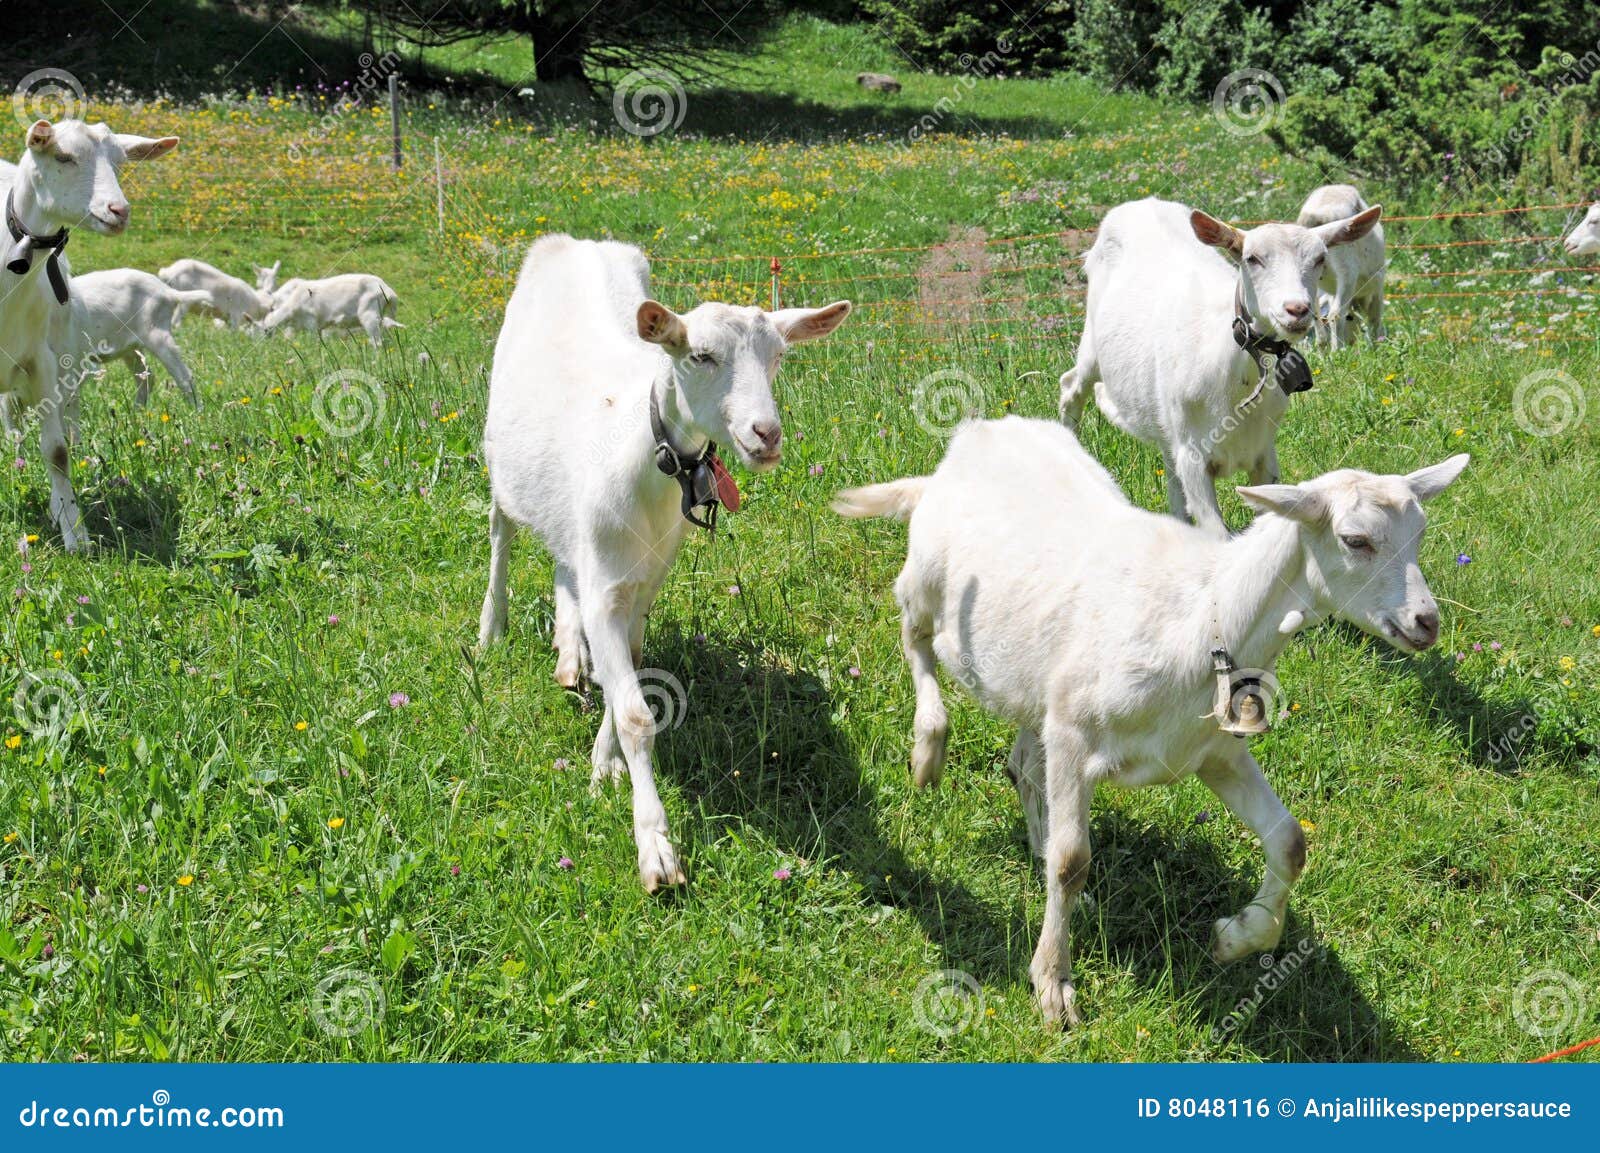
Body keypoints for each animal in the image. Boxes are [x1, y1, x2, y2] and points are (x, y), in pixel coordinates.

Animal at [0, 119, 177, 551]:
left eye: (119, 162)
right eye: (63, 156)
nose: (119, 211)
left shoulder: (43, 362)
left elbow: (57, 451)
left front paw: (74, 530)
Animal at [478, 233, 850, 891]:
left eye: (778, 356)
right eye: (700, 355)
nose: (766, 433)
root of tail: (571, 241)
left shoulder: (644, 580)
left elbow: (626, 668)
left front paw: (603, 766)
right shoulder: (608, 587)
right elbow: (633, 713)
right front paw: (654, 845)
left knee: (563, 562)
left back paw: (569, 654)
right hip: (501, 458)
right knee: (501, 535)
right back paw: (490, 629)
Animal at [836, 415, 1467, 1025]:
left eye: (1420, 534)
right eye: (1355, 539)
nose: (1426, 622)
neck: (1204, 615)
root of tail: (970, 438)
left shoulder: (1213, 749)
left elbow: (1289, 841)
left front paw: (1237, 938)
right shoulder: (1075, 732)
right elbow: (1072, 861)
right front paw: (1053, 985)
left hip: (1036, 675)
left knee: (1023, 765)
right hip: (926, 580)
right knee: (913, 637)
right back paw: (928, 749)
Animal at [1058, 197, 1381, 537]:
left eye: (1320, 258)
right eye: (1252, 258)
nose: (1297, 309)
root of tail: (1142, 202)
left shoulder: (1264, 453)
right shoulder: (1193, 457)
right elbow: (1217, 535)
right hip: (1093, 346)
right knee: (1071, 387)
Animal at [1296, 184, 1386, 349]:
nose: (1351, 342)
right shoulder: (1377, 285)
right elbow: (1375, 319)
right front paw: (1377, 348)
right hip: (1347, 269)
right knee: (1336, 314)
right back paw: (1338, 351)